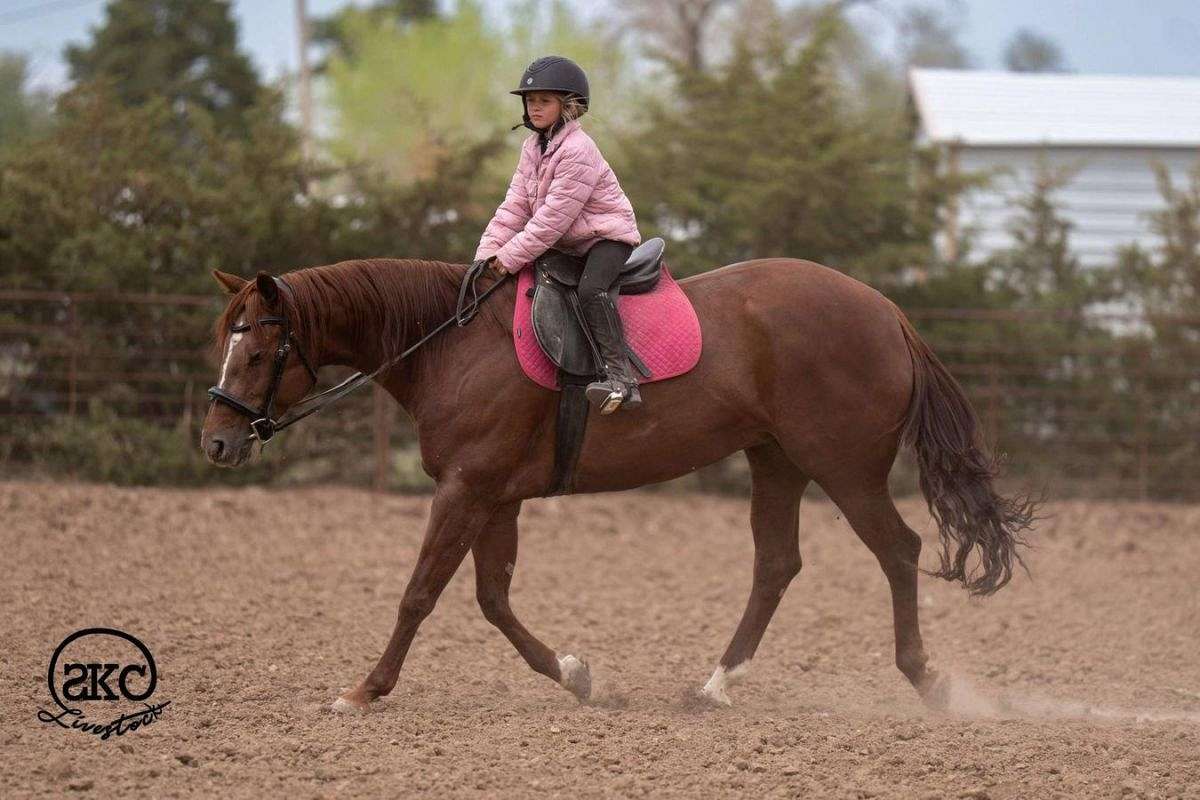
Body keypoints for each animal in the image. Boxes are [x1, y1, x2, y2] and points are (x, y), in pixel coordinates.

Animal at [200, 257, 1035, 713]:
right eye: (223, 344)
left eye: (259, 351)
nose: (215, 442)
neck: (452, 346)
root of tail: (887, 312)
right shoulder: (495, 497)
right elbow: (493, 600)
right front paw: (578, 678)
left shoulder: (467, 489)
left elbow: (420, 594)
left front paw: (364, 689)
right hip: (778, 463)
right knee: (777, 565)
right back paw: (713, 686)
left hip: (843, 467)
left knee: (899, 550)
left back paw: (924, 679)